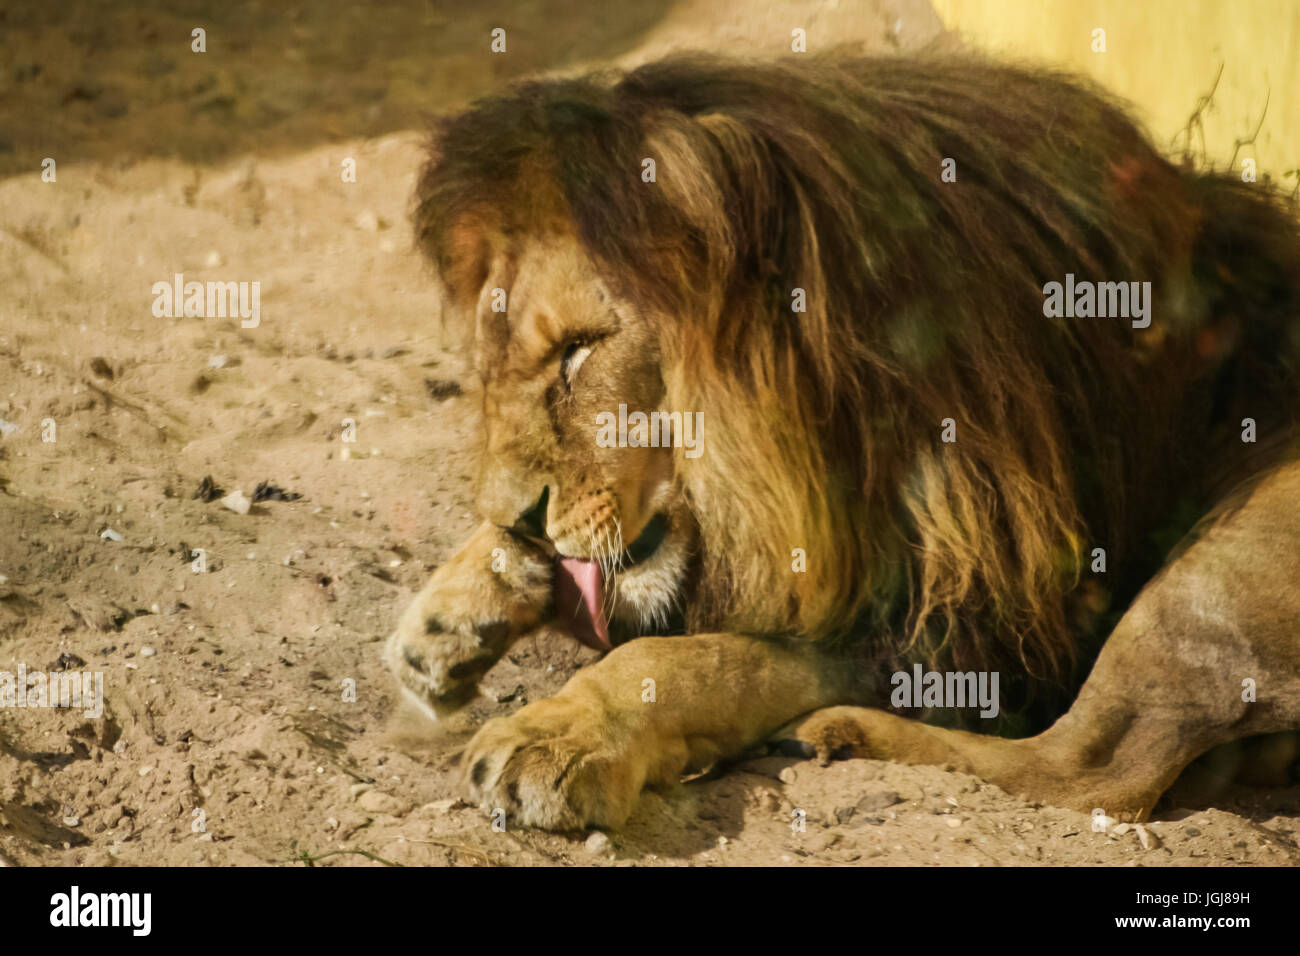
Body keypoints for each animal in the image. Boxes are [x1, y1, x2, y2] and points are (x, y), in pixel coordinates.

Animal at [386, 53, 1300, 831]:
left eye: (579, 353)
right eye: (495, 370)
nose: (517, 518)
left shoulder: (966, 629)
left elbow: (700, 661)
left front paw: (559, 734)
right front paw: (453, 614)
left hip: (1221, 559)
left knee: (1099, 768)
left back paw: (839, 731)